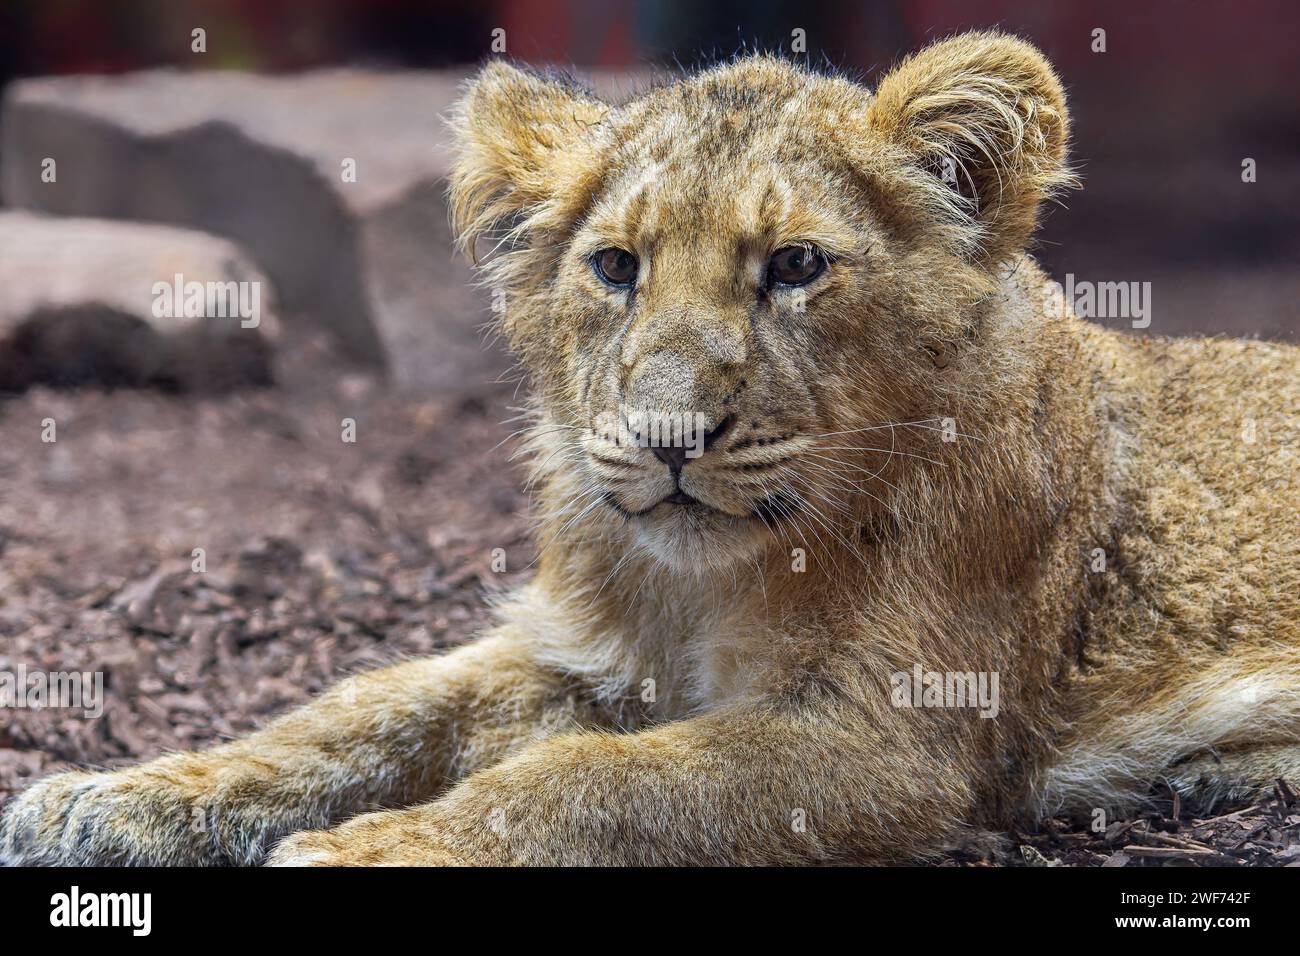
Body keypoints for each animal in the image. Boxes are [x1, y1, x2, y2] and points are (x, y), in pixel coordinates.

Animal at [2, 31, 1297, 866]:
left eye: (795, 265)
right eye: (616, 267)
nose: (669, 435)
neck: (705, 582)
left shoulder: (883, 738)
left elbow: (595, 779)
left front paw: (367, 850)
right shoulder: (577, 653)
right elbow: (362, 708)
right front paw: (104, 798)